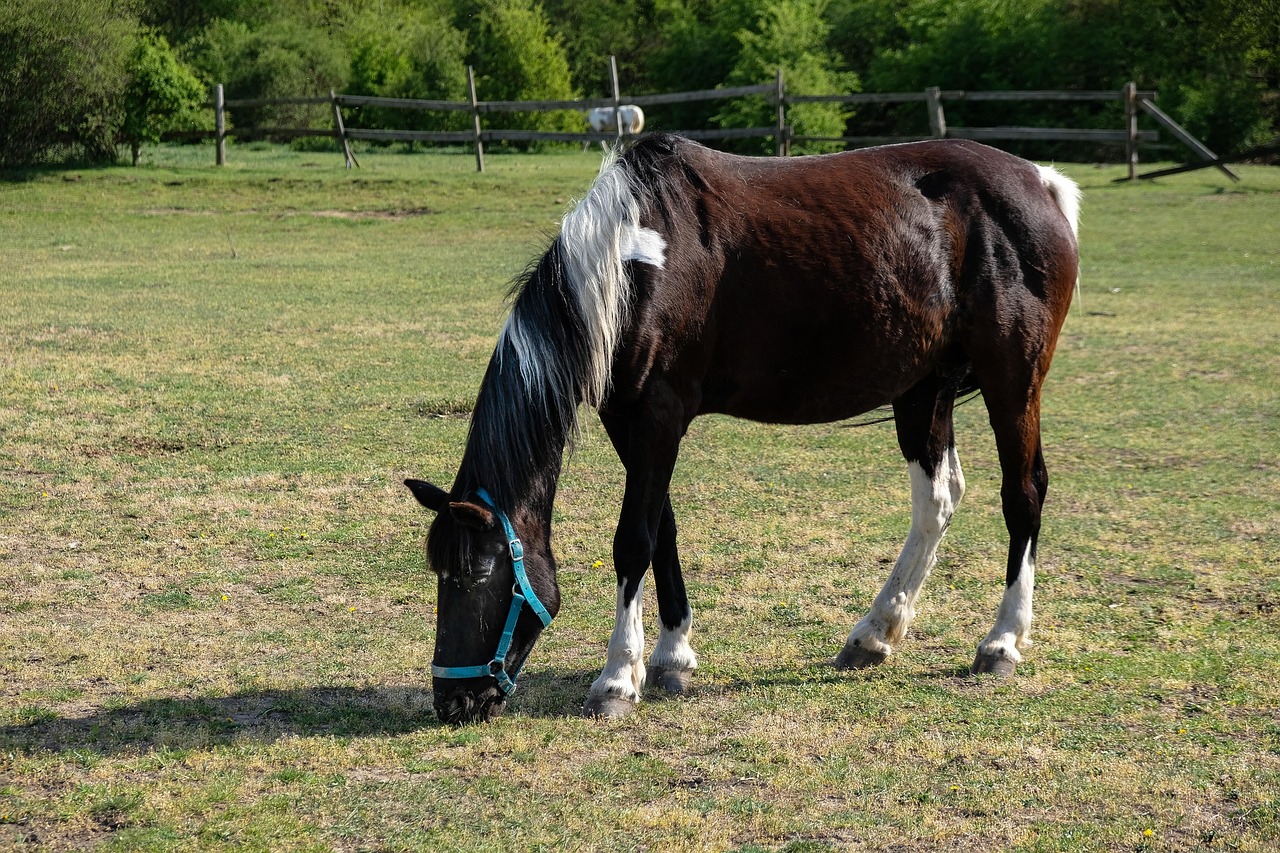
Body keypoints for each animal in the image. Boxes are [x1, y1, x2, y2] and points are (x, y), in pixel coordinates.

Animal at [406, 133, 1081, 725]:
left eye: (473, 573)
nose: (453, 702)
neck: (634, 264)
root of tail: (1041, 182)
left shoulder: (657, 418)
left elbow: (632, 541)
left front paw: (618, 678)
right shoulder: (631, 422)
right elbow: (663, 531)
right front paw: (672, 656)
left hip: (1010, 379)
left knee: (1023, 494)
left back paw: (1001, 642)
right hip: (922, 392)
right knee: (936, 502)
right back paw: (874, 634)